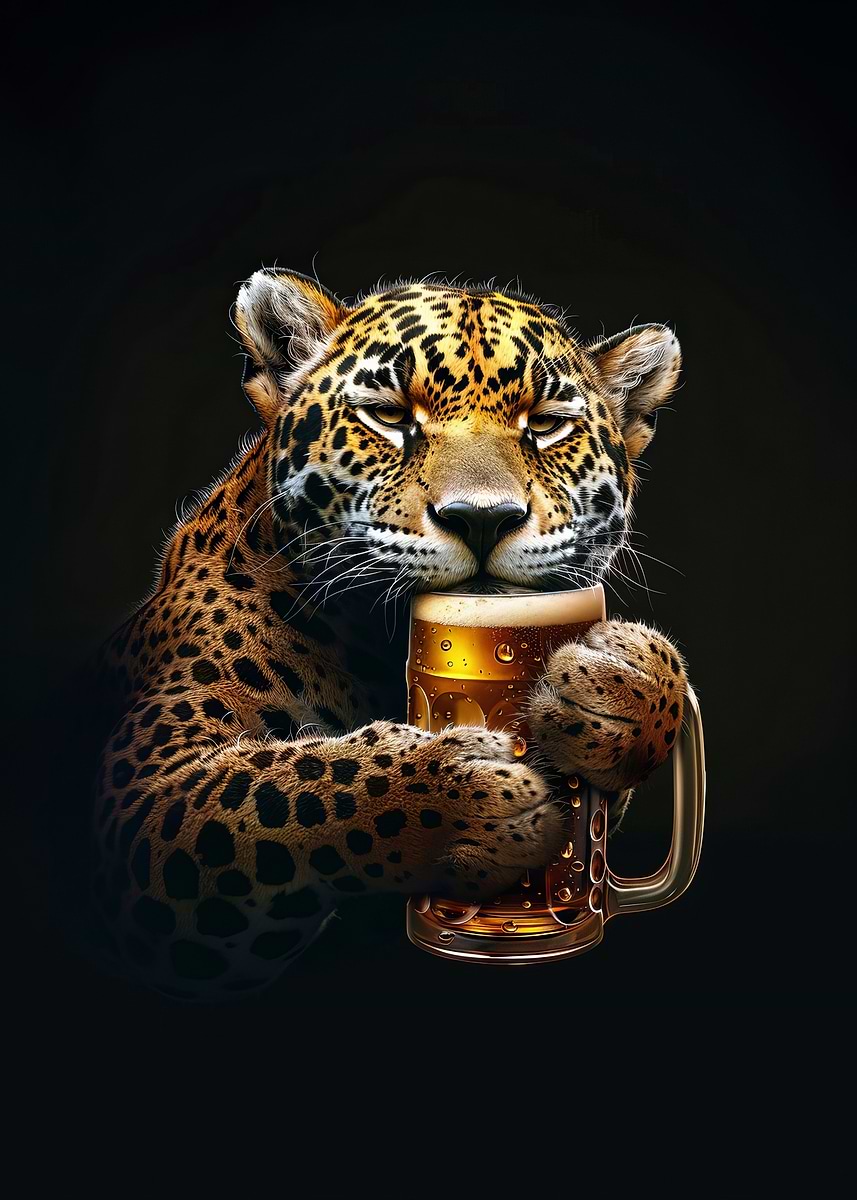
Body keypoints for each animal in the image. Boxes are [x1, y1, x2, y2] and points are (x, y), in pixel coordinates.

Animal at [93, 268, 689, 1001]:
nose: (482, 518)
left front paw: (623, 684)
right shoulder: (136, 801)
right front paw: (462, 793)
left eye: (547, 425)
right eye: (389, 414)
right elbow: (280, 789)